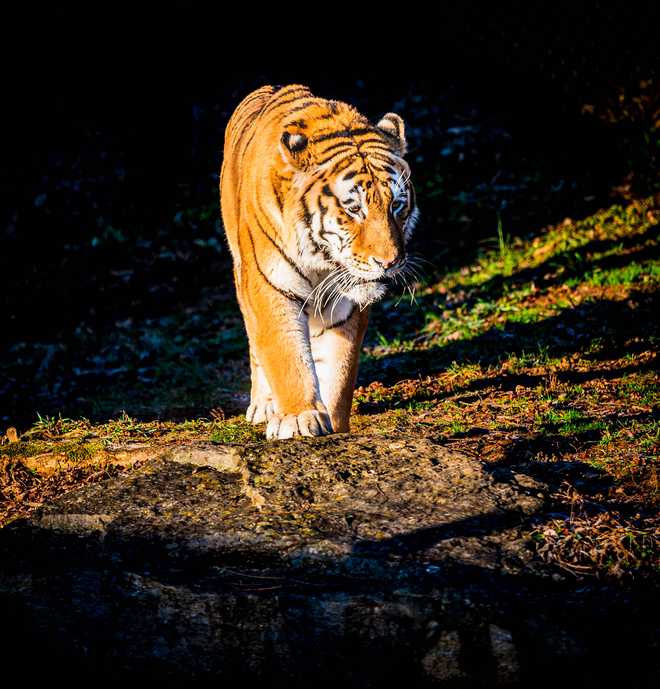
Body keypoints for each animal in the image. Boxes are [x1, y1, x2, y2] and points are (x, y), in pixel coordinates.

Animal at [220, 84, 418, 440]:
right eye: (354, 209)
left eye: (396, 205)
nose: (390, 262)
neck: (322, 264)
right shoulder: (270, 288)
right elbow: (286, 356)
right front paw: (300, 418)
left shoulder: (346, 306)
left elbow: (339, 369)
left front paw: (335, 425)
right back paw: (264, 406)